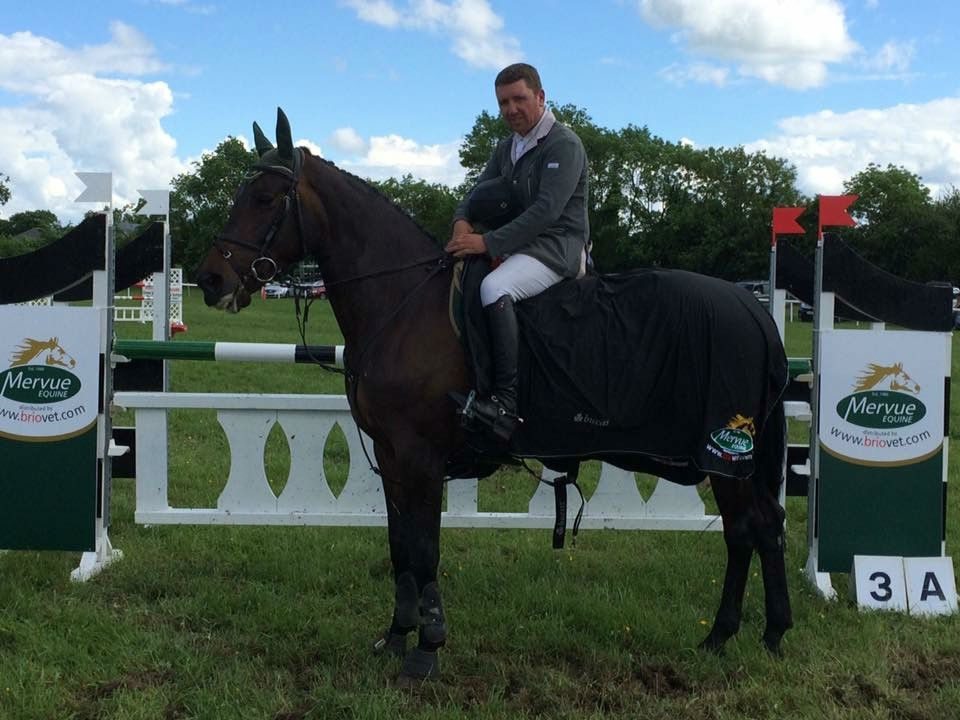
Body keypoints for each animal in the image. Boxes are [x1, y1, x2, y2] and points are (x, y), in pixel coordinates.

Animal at [196, 109, 793, 681]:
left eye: (265, 199)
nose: (210, 280)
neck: (406, 303)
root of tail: (754, 309)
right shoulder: (392, 457)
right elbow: (400, 550)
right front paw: (397, 635)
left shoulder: (420, 458)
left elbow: (425, 551)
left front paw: (427, 650)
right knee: (758, 529)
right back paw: (755, 635)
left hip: (725, 460)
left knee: (749, 530)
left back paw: (737, 634)